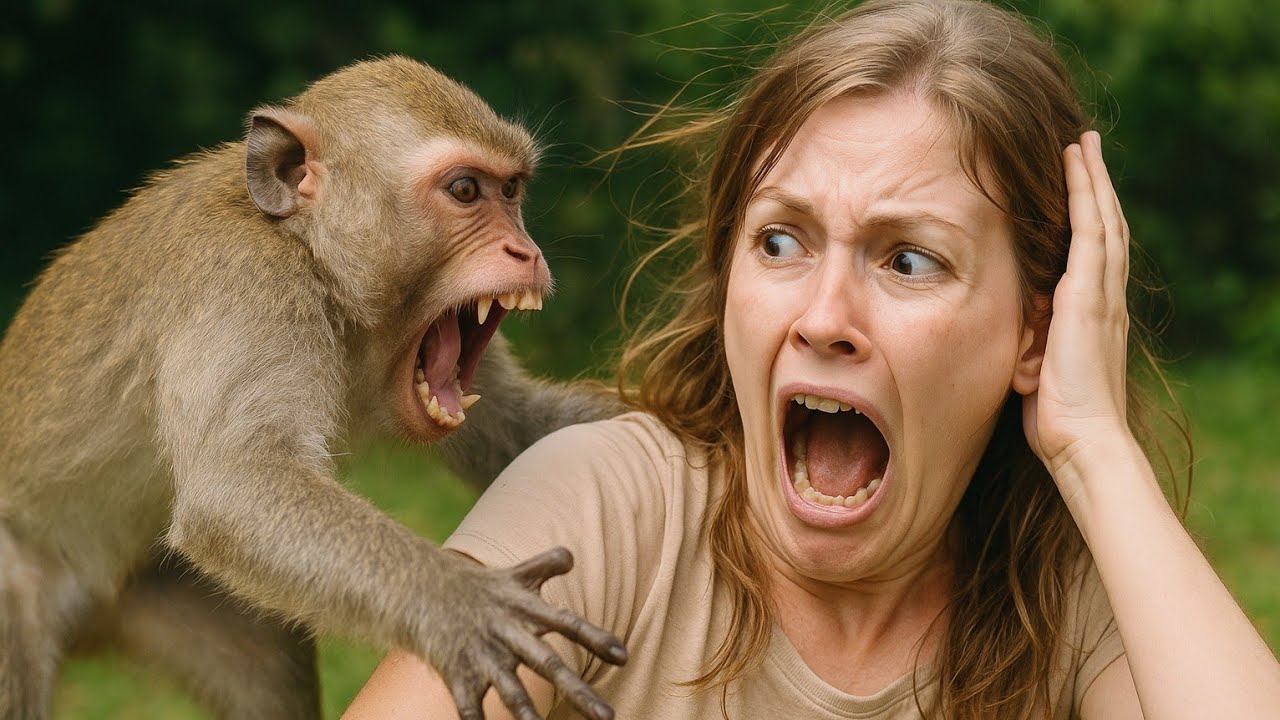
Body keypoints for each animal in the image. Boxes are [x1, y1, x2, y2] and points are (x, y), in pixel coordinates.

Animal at [0, 56, 628, 720]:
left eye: (512, 191)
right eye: (465, 191)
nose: (525, 250)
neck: (314, 258)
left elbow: (517, 429)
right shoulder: (249, 281)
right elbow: (235, 487)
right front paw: (462, 605)